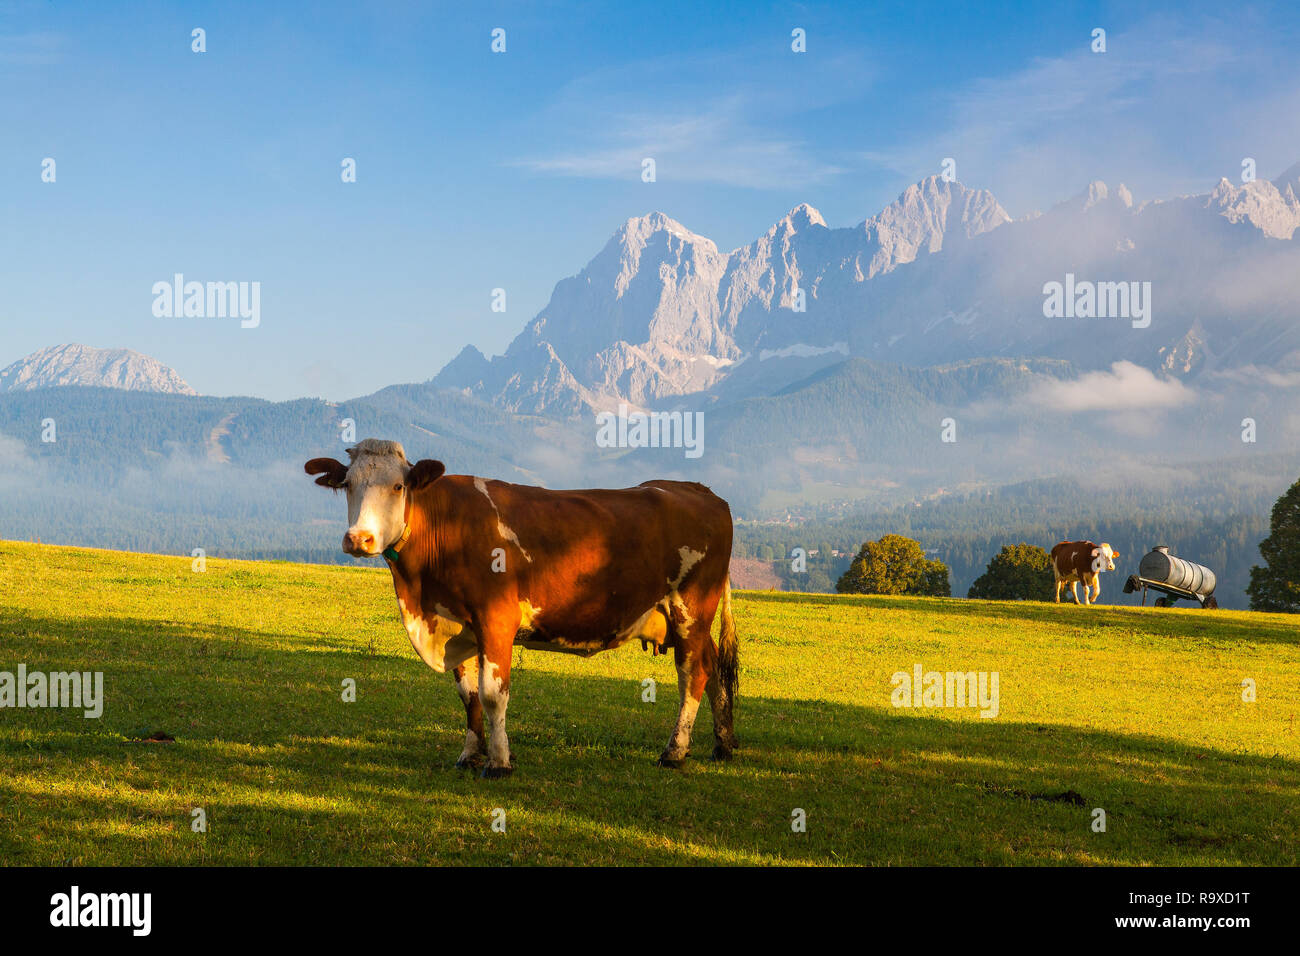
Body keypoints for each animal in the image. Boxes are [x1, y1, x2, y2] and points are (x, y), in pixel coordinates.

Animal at [304, 439, 739, 777]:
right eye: (348, 485)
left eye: (397, 486)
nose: (358, 539)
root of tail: (700, 490)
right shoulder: (459, 625)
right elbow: (468, 695)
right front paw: (469, 754)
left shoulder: (496, 618)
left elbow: (492, 693)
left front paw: (498, 763)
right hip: (690, 619)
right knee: (714, 667)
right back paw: (723, 744)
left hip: (691, 608)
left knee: (693, 674)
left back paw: (675, 752)